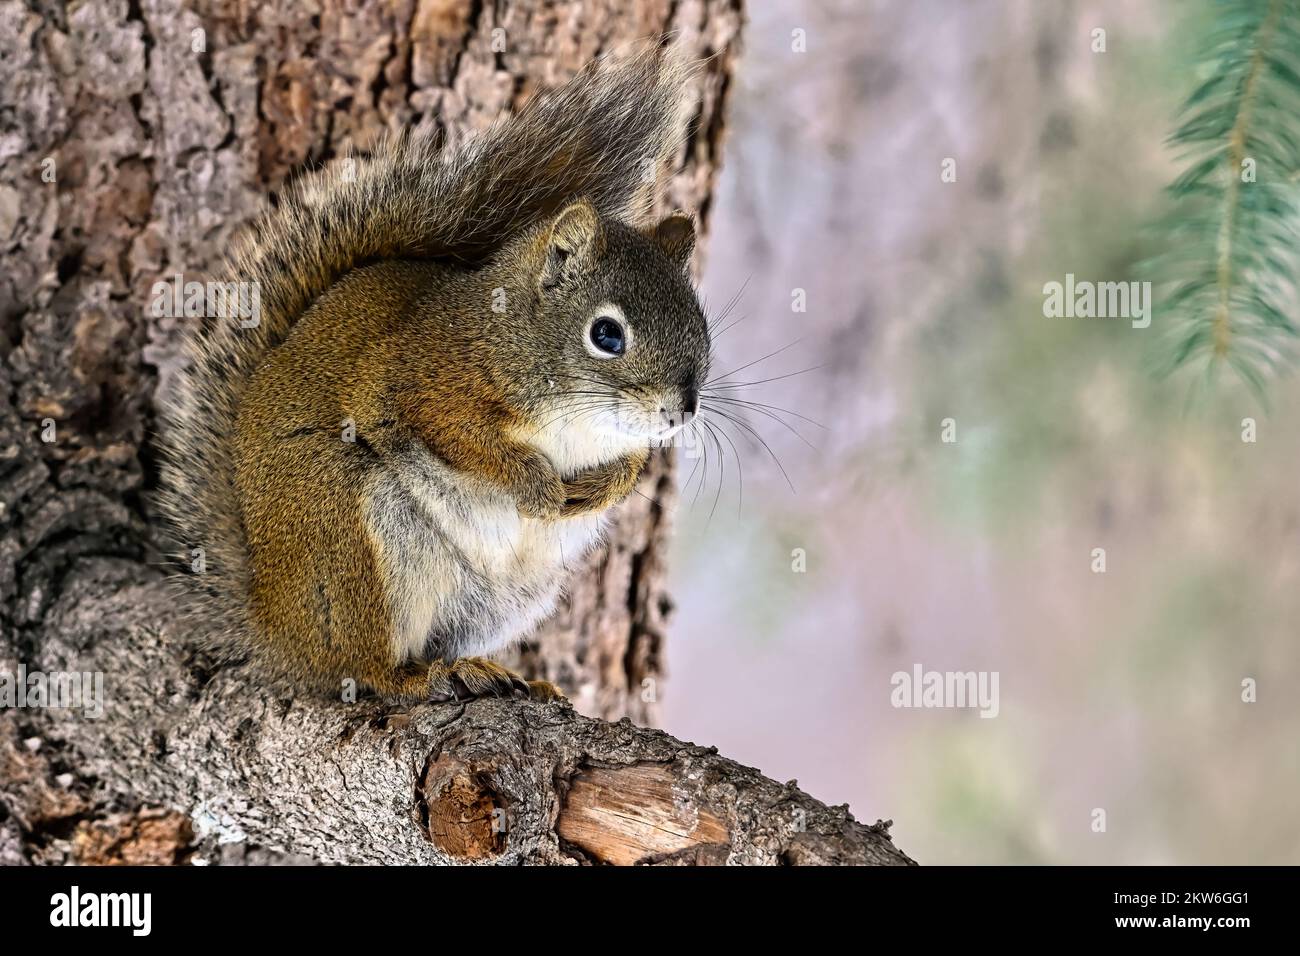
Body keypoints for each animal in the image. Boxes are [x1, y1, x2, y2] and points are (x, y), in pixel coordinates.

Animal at [158, 51, 711, 703]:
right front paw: (535, 485)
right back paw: (414, 677)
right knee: (360, 665)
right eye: (606, 334)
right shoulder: (424, 377)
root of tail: (275, 624)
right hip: (349, 538)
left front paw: (603, 486)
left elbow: (629, 465)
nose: (681, 410)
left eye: (701, 324)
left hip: (496, 600)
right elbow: (456, 434)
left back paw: (488, 670)